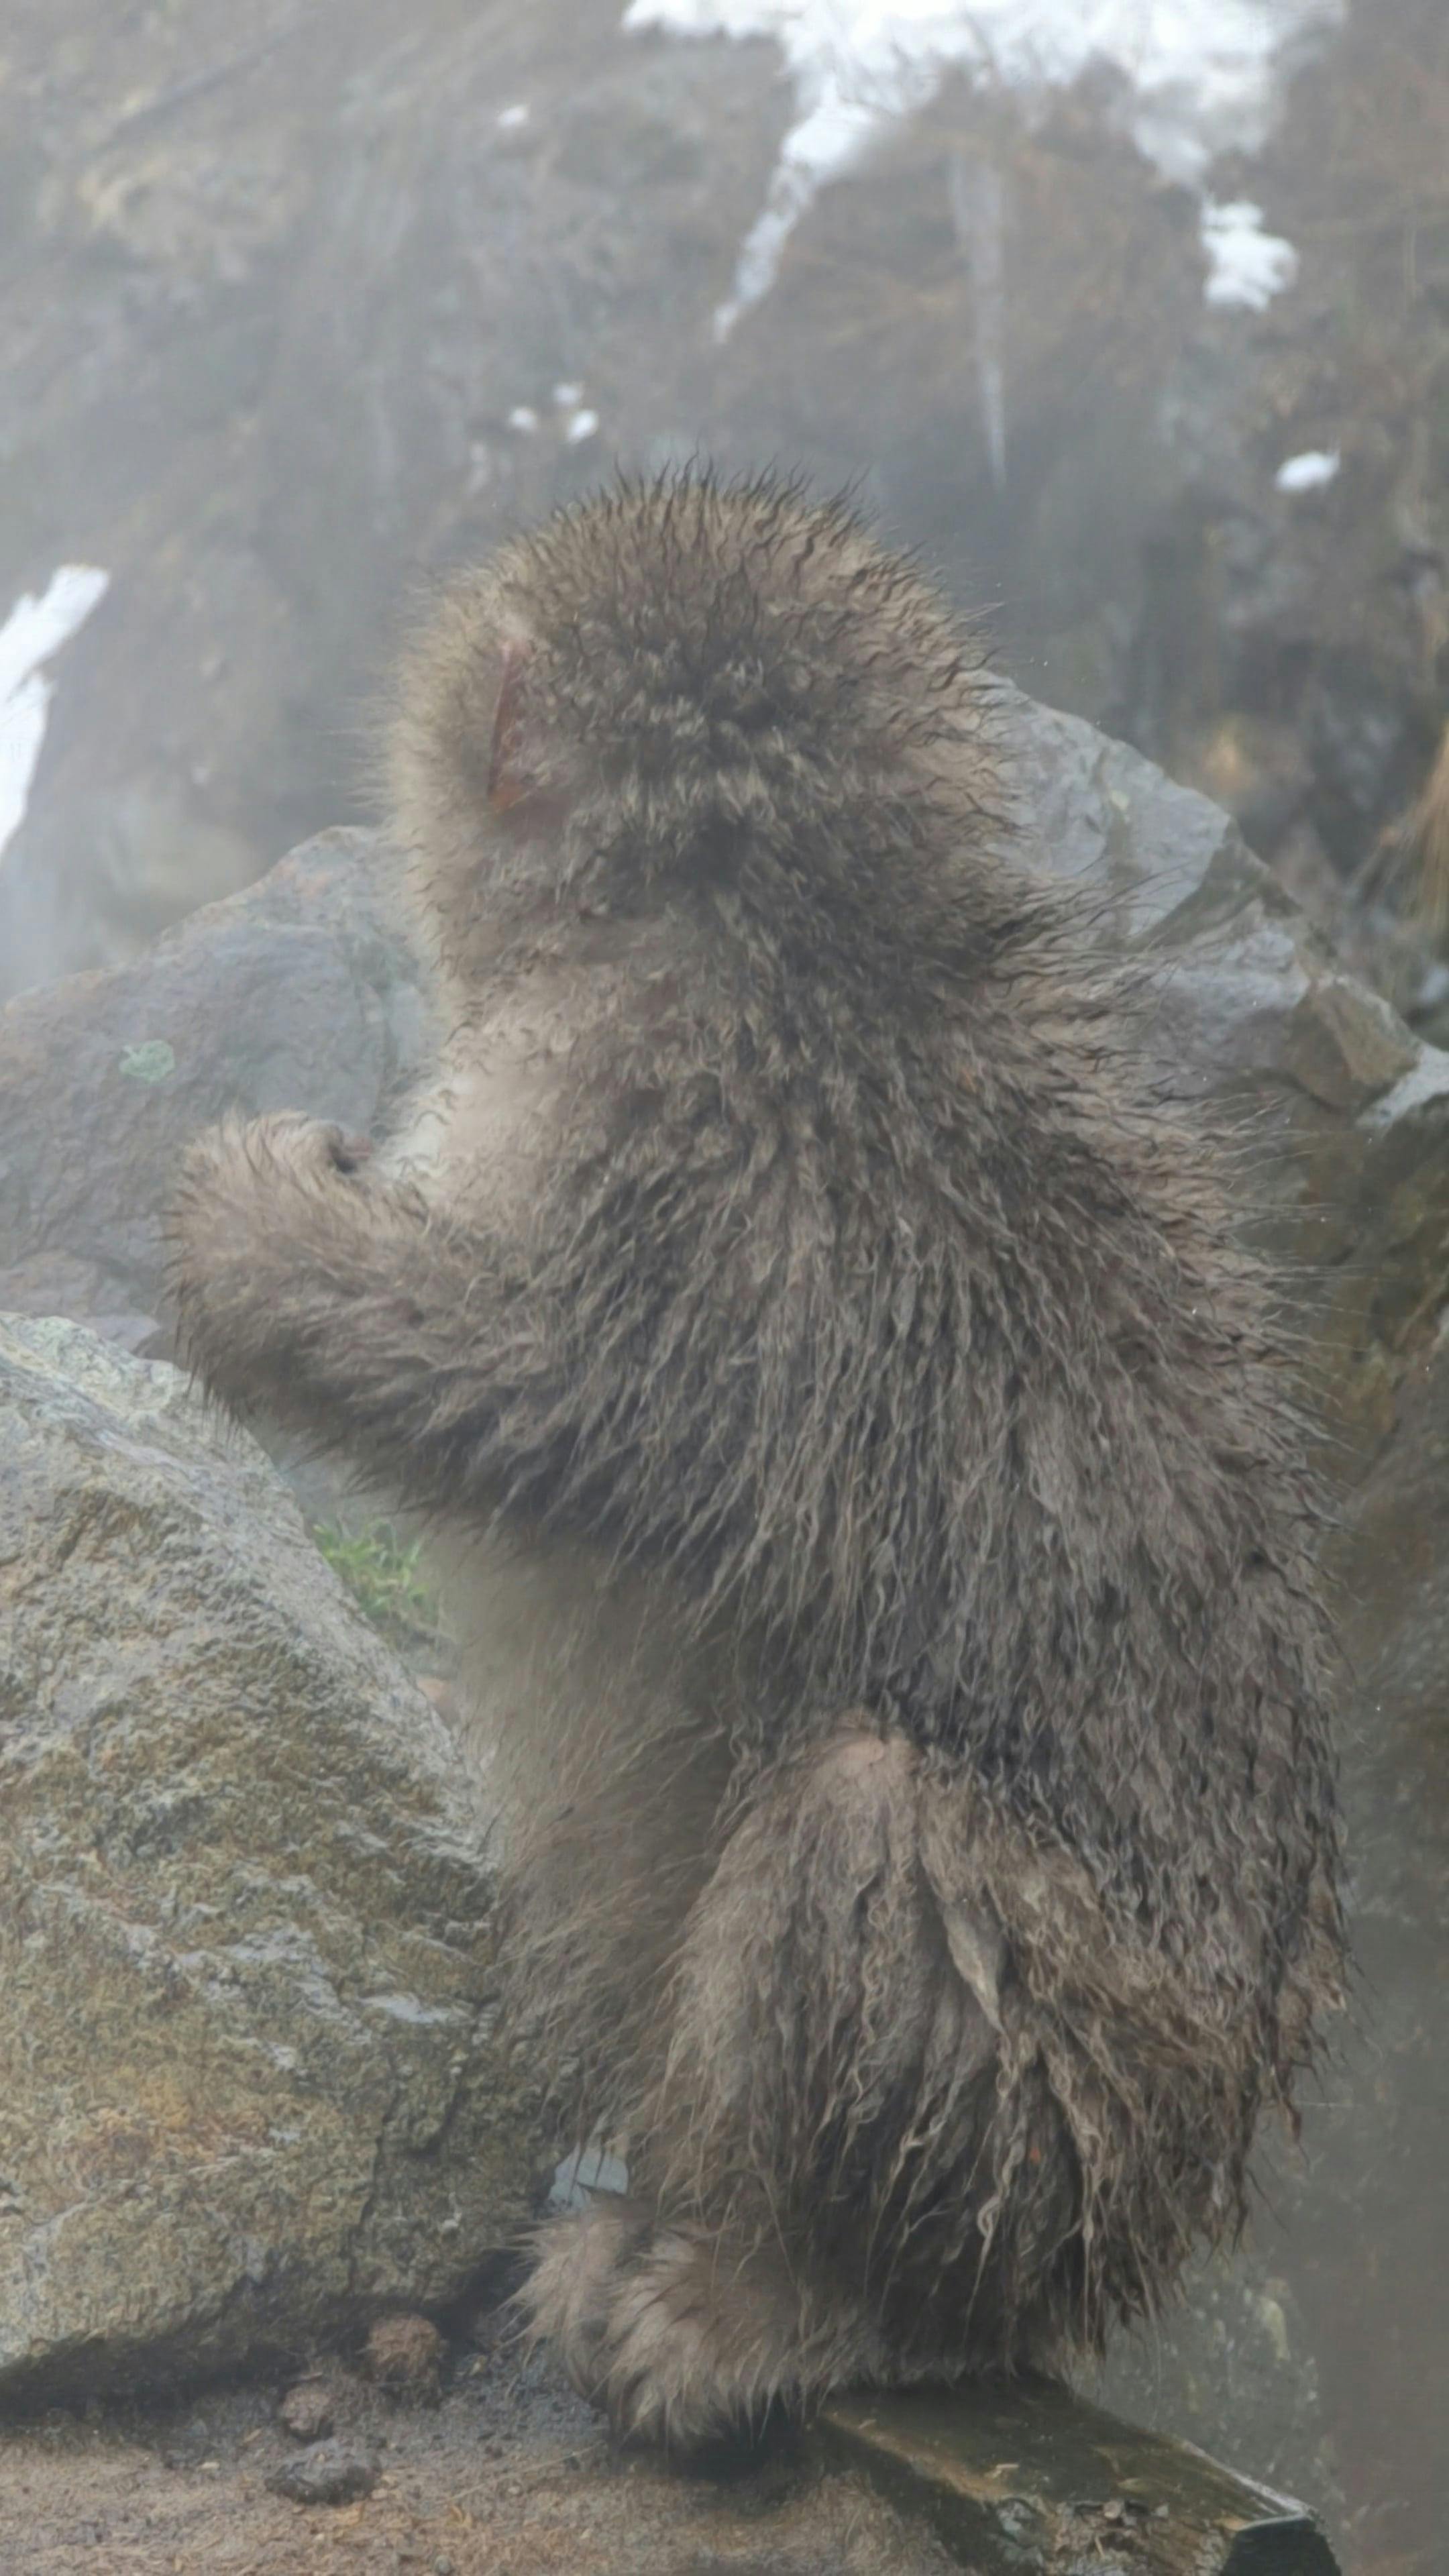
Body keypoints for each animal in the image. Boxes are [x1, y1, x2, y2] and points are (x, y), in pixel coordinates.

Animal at [168, 468, 1346, 2452]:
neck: (783, 938)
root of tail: (1171, 2220)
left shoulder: (645, 1120)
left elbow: (549, 1400)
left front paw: (255, 1244)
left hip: (1083, 2141)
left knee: (862, 1825)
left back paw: (797, 2302)